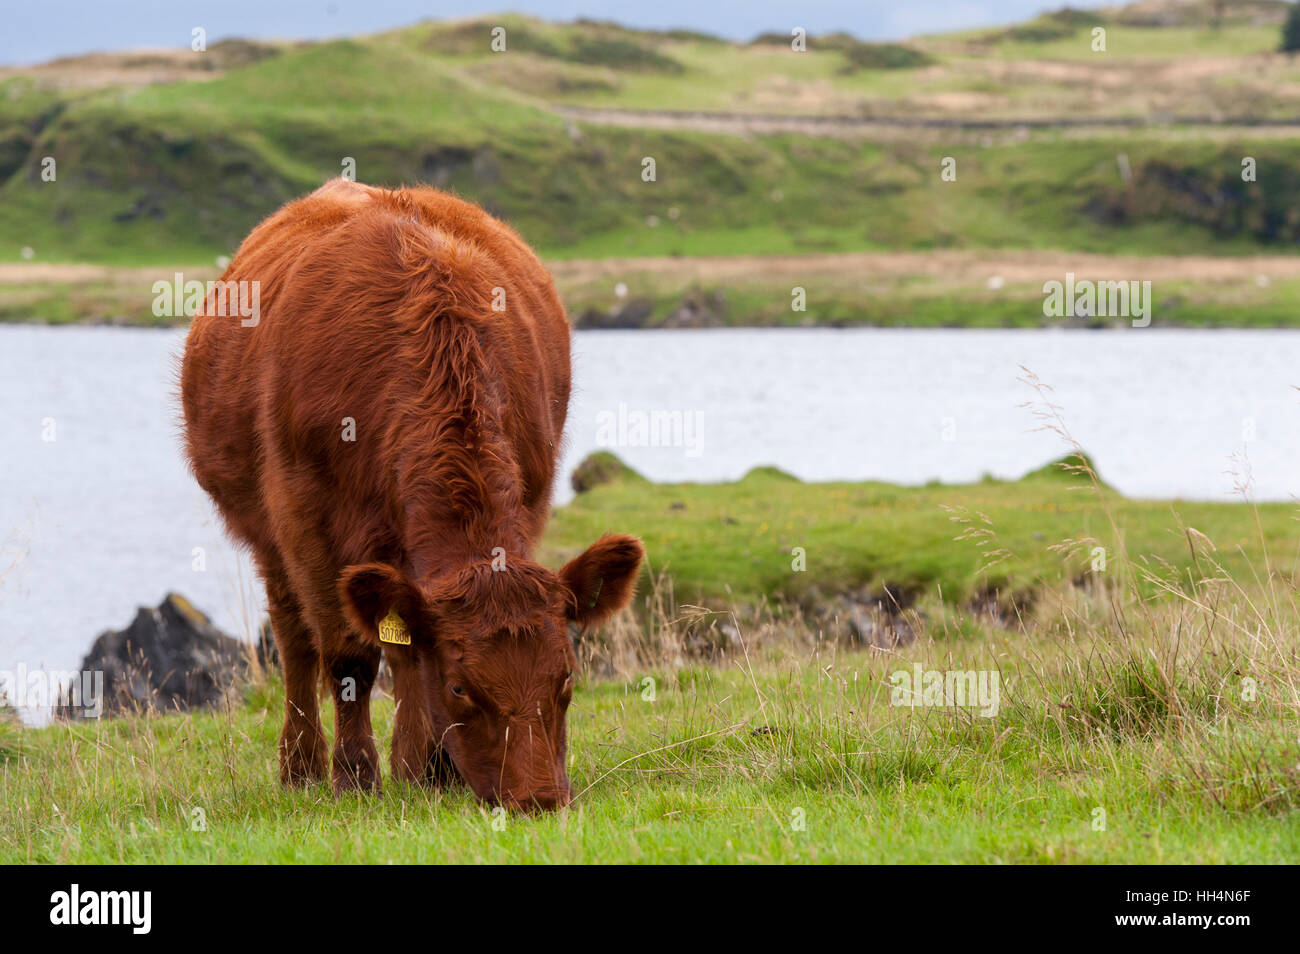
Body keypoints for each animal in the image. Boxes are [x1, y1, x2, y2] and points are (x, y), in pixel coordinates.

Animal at [180, 178, 643, 811]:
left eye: (566, 676)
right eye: (461, 686)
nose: (538, 799)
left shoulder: (531, 498)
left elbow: (404, 649)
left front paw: (431, 767)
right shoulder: (308, 526)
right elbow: (348, 658)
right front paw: (355, 777)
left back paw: (419, 766)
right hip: (269, 540)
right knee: (297, 641)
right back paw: (302, 768)